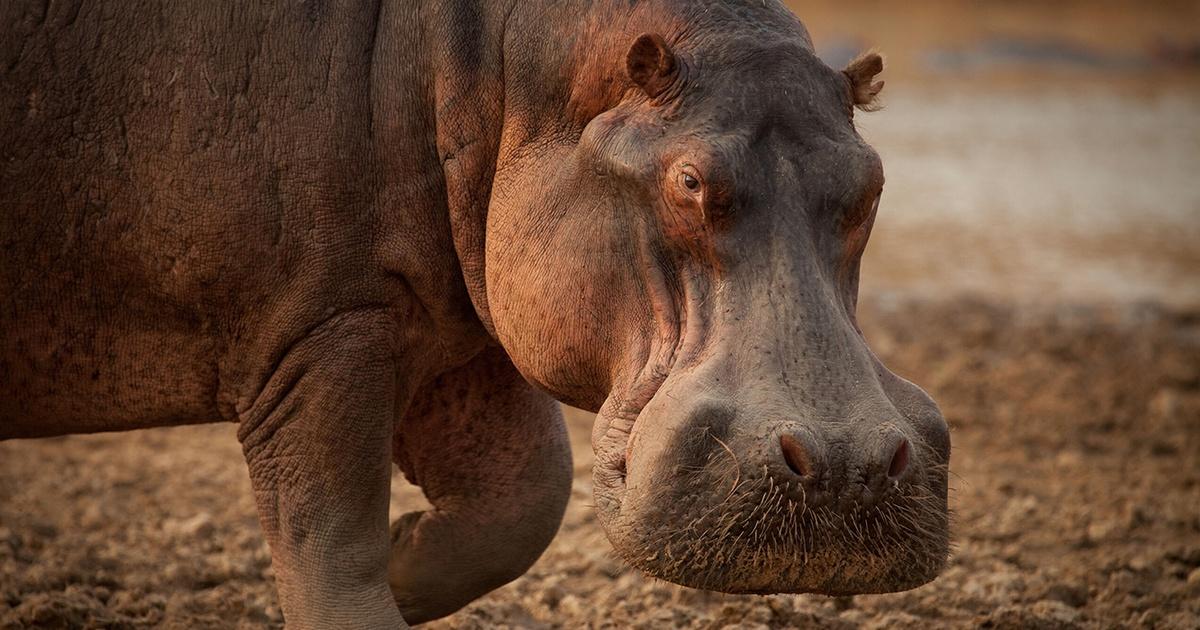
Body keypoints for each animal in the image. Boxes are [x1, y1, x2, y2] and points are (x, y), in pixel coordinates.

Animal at [0, 0, 950, 627]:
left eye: (872, 182)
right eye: (689, 181)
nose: (847, 466)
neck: (495, 64)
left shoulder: (455, 335)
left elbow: (521, 501)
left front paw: (405, 558)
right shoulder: (323, 330)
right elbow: (329, 532)